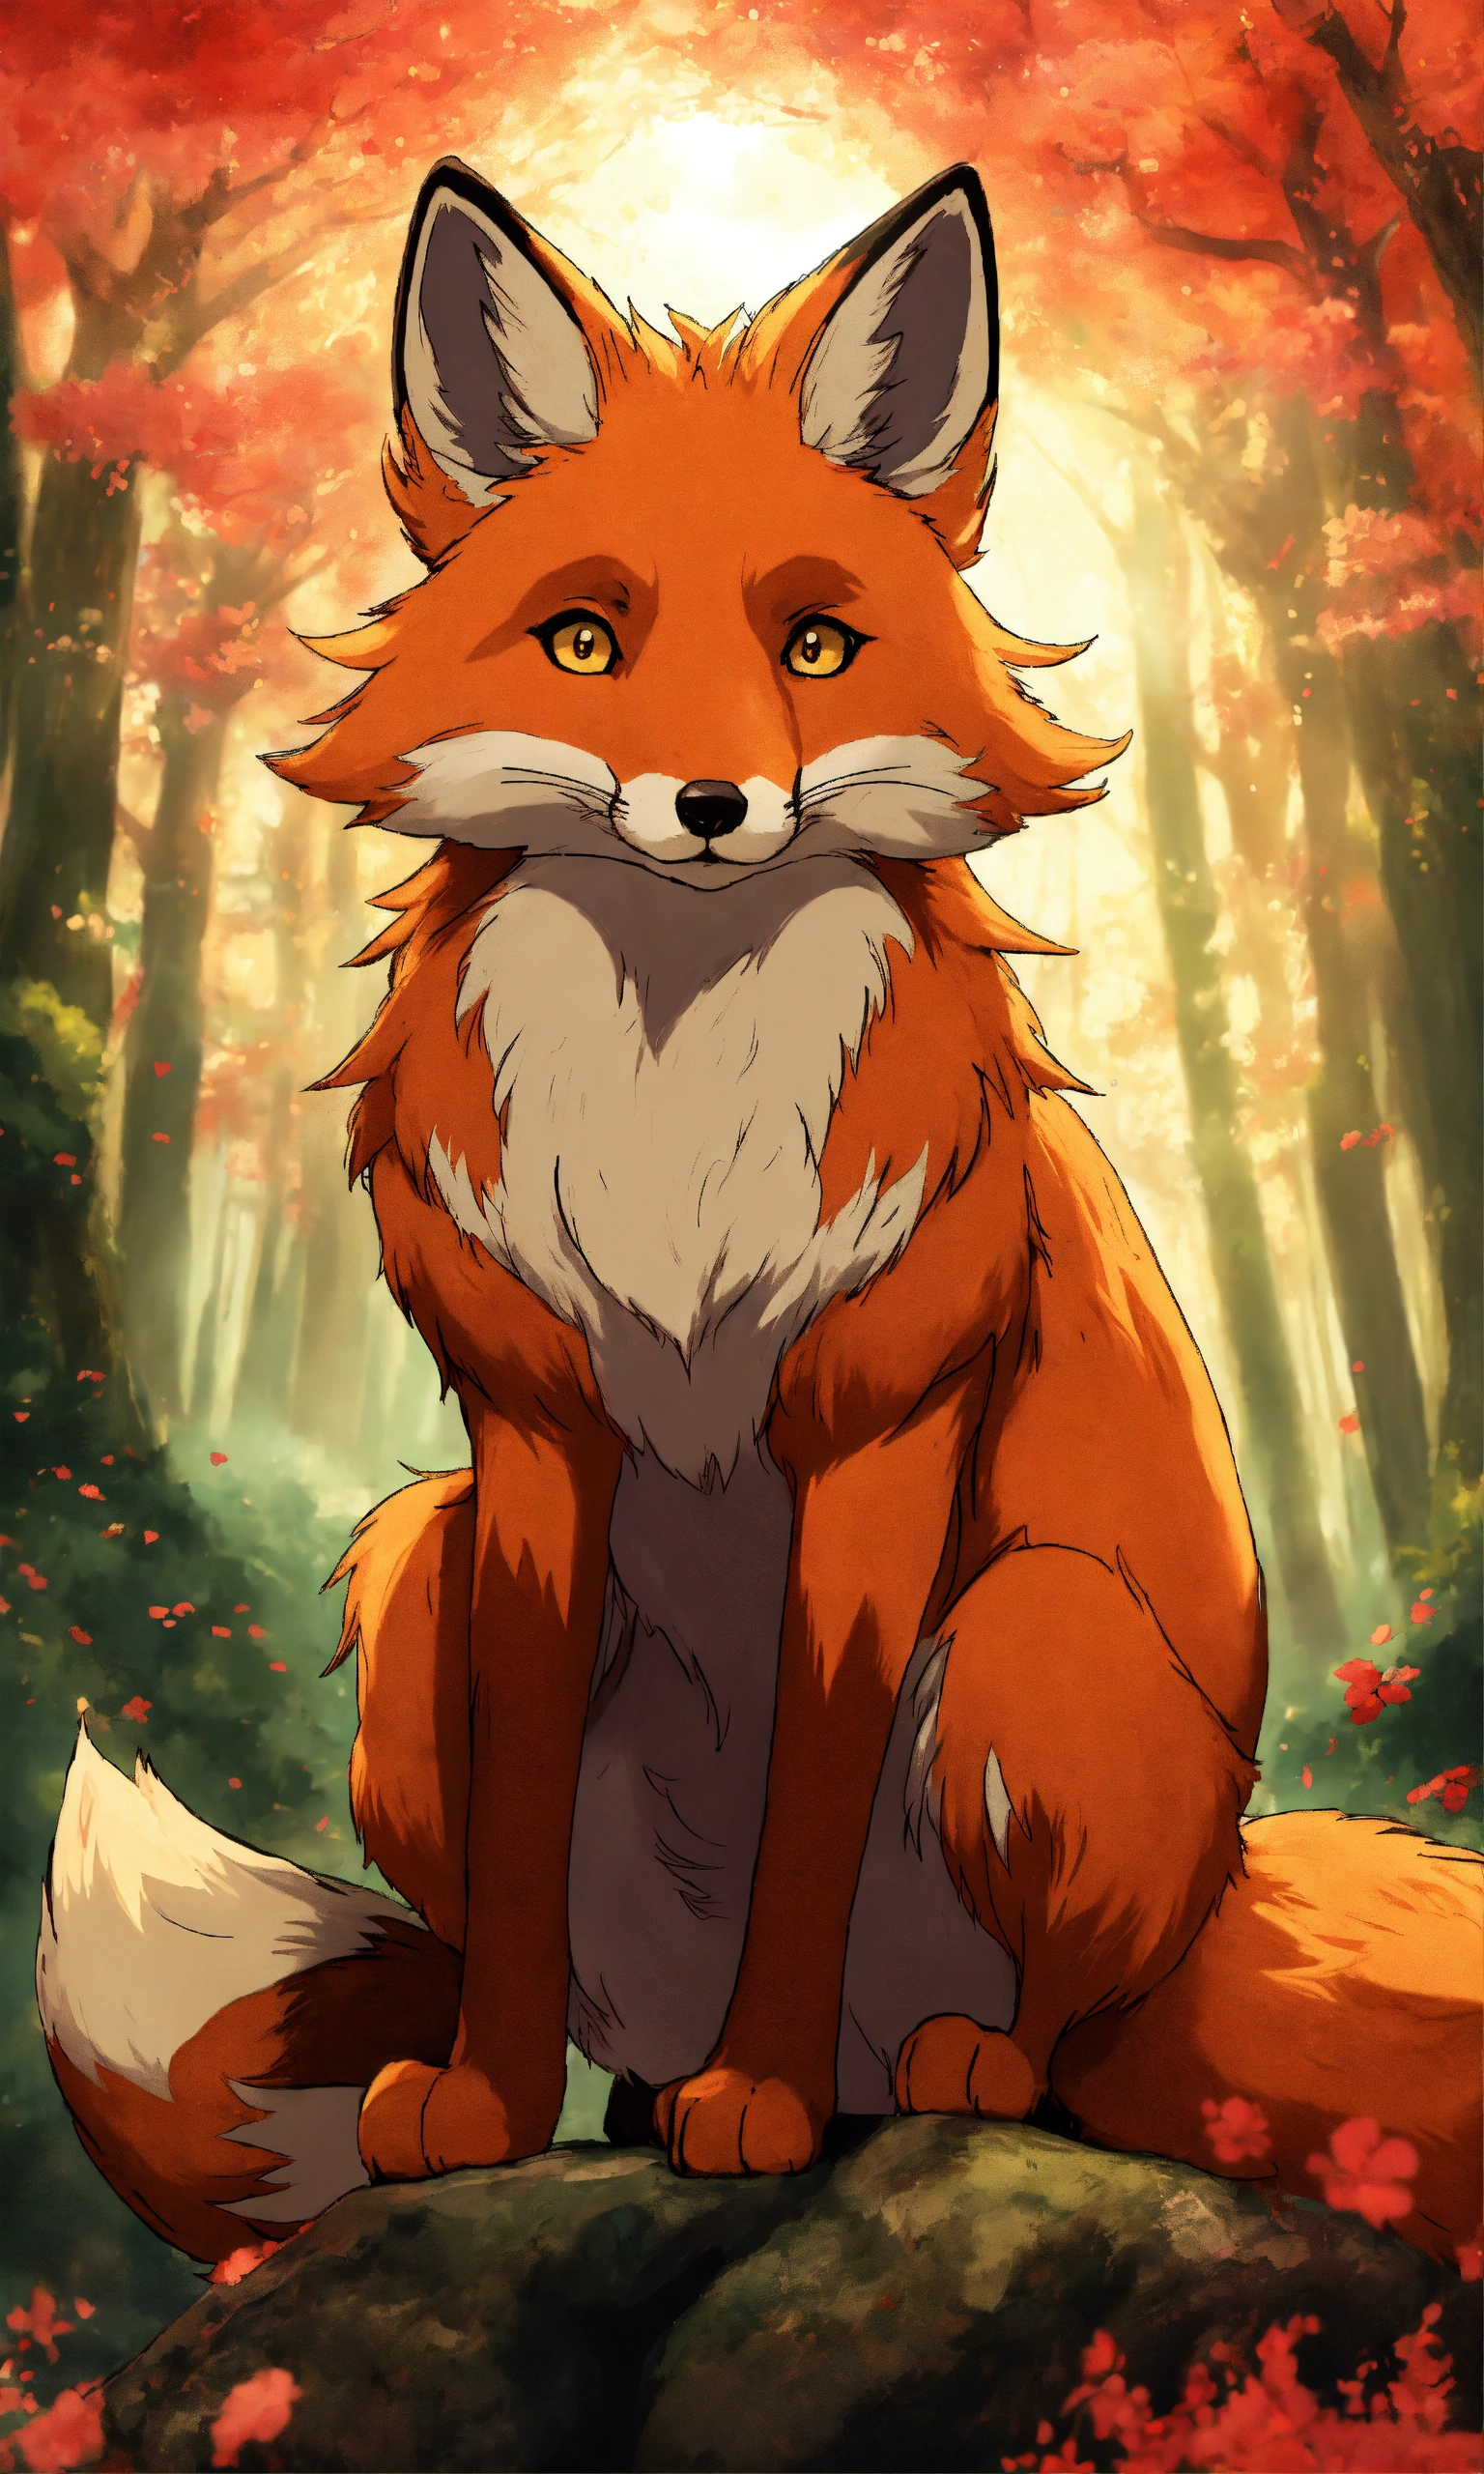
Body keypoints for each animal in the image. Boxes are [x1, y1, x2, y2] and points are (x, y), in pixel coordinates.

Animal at [39, 160, 1481, 2271]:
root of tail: (1212, 1904)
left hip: (1039, 1641)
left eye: (815, 647)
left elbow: (811, 1798)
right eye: (581, 643)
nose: (715, 803)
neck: (676, 1101)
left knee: (1056, 2039)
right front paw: (485, 2110)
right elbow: (527, 1825)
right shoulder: (531, 1441)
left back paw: (935, 2073)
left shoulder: (875, 1431)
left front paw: (767, 2103)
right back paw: (637, 2094)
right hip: (412, 1573)